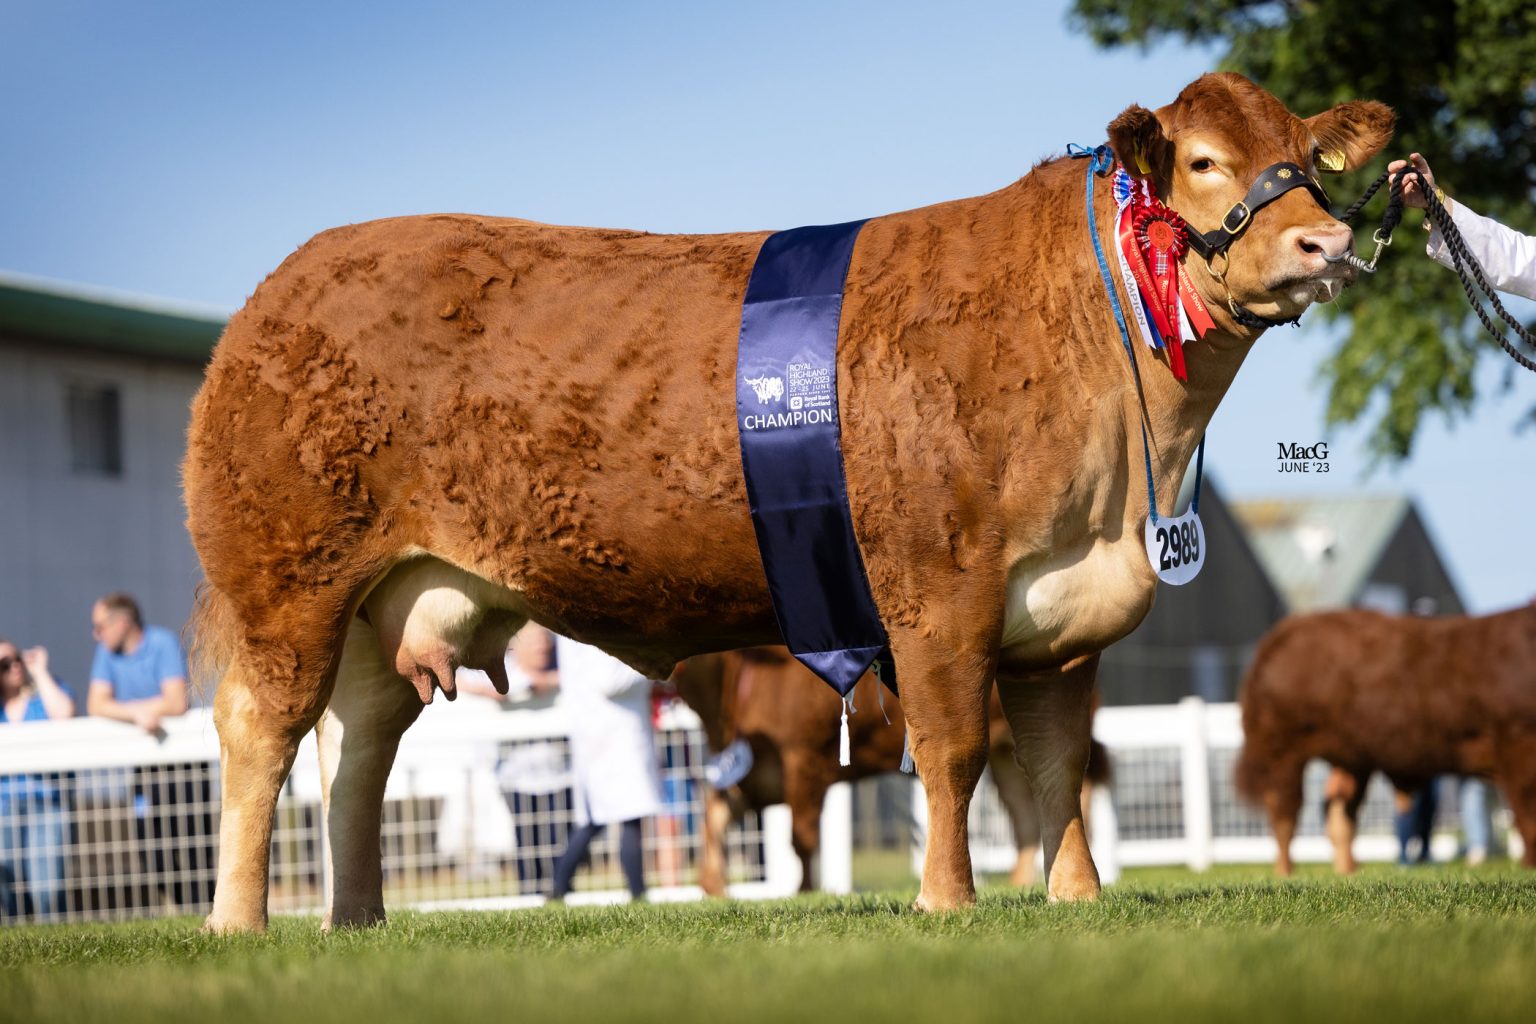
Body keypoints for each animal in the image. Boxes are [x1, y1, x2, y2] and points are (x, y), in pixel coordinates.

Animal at [182, 71, 1392, 932]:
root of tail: (287, 284)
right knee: (262, 734)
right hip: (286, 580)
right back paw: (240, 924)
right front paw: (946, 901)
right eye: (1204, 161)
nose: (1326, 242)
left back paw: (355, 919)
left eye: (1304, 161)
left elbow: (1055, 762)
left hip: (388, 601)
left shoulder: (1064, 613)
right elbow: (952, 750)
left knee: (357, 746)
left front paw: (1077, 896)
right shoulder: (937, 590)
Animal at [1236, 605, 1536, 875]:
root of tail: (1291, 627)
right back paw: (1285, 871)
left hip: (1351, 761)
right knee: (1284, 813)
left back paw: (1348, 870)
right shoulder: (1519, 744)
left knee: (1339, 812)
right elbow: (1528, 816)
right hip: (1283, 754)